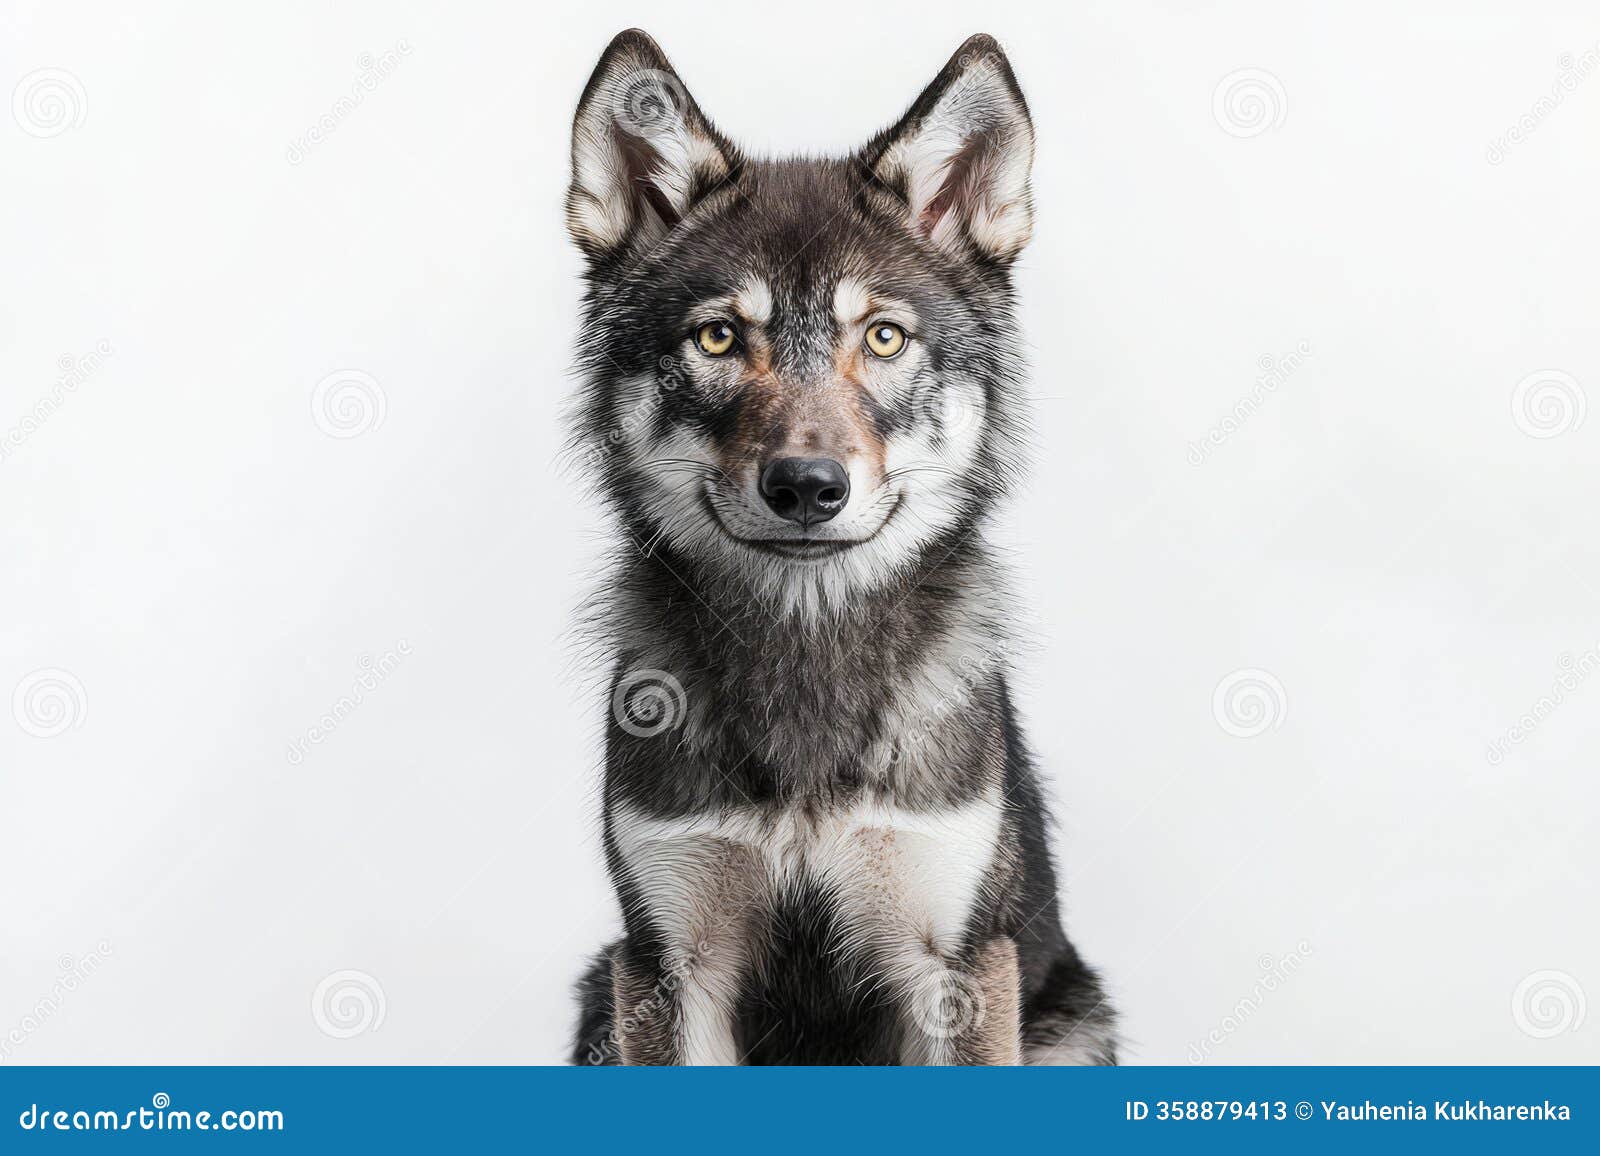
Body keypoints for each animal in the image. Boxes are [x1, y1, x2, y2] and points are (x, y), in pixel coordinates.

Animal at [564, 28, 1116, 1065]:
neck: (805, 660)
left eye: (885, 338)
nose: (808, 489)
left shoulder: (955, 967)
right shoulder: (669, 965)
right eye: (718, 338)